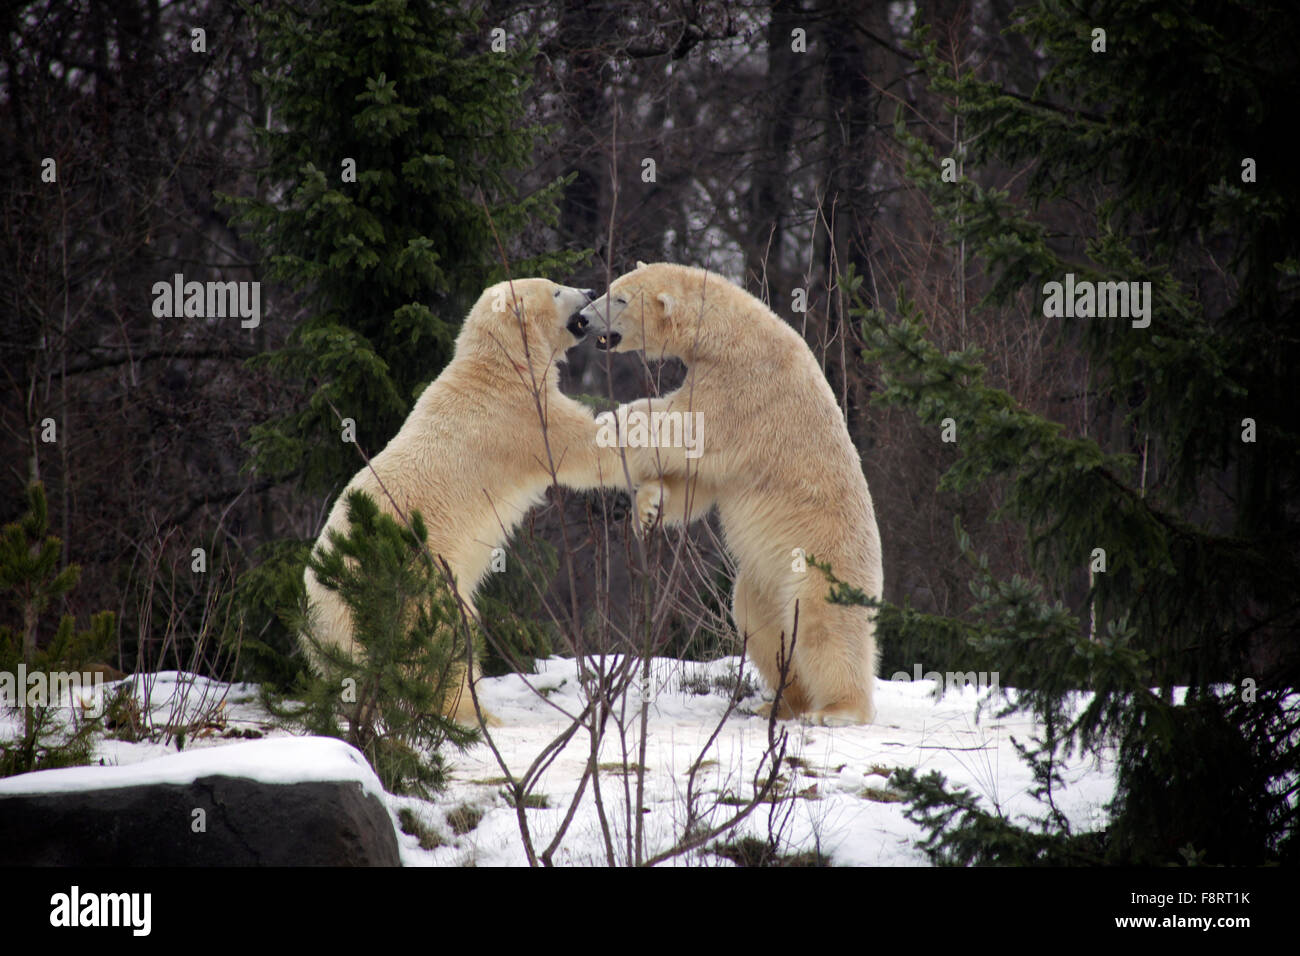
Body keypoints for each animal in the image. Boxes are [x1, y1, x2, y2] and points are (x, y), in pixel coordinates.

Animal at [303, 278, 627, 724]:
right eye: (558, 291)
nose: (590, 290)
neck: (499, 368)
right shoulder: (522, 416)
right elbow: (586, 447)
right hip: (422, 579)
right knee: (446, 638)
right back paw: (471, 712)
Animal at [581, 262, 883, 725]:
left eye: (620, 299)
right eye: (611, 289)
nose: (582, 318)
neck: (728, 332)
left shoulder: (741, 386)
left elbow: (681, 424)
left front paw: (605, 423)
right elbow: (697, 484)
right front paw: (648, 508)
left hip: (825, 565)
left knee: (824, 626)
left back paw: (836, 710)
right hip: (763, 578)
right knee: (758, 621)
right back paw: (779, 702)